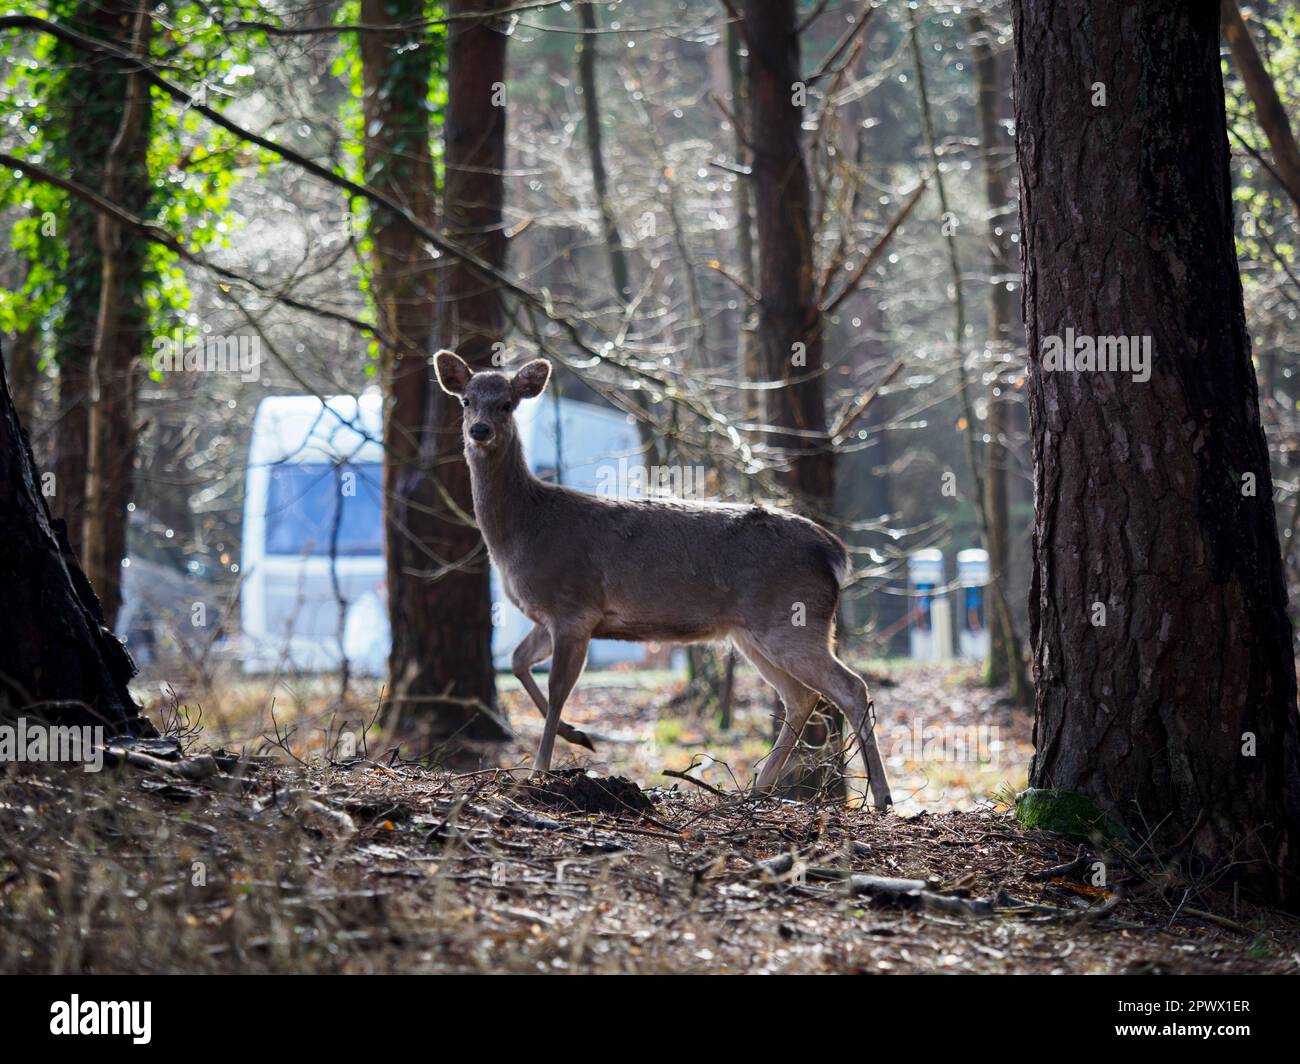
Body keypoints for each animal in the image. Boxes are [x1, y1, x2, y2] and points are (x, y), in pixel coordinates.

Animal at [433, 350, 893, 812]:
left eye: (508, 403)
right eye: (466, 400)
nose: (479, 430)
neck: (523, 530)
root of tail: (834, 552)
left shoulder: (573, 607)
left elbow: (558, 689)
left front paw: (539, 771)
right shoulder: (550, 619)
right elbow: (517, 661)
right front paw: (577, 736)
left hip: (792, 617)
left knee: (850, 687)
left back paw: (882, 797)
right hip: (753, 634)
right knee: (800, 697)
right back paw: (756, 789)